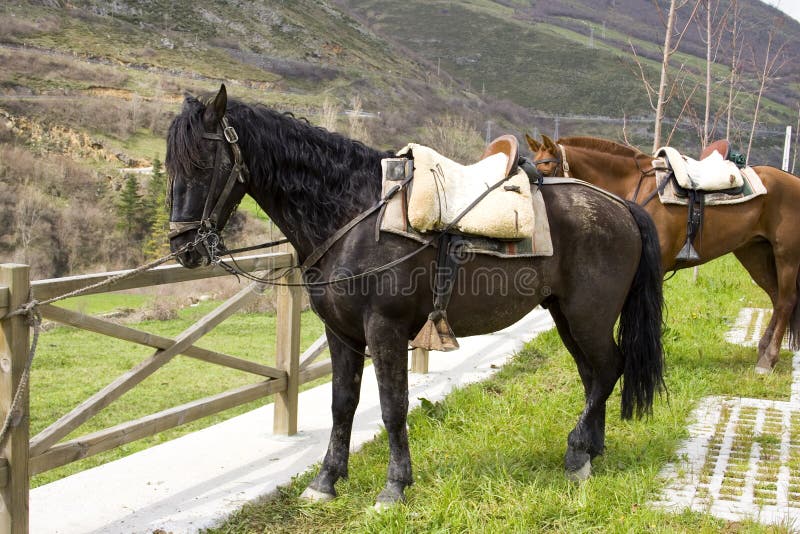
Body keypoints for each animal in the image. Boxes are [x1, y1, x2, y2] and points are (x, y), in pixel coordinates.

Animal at [165, 85, 665, 508]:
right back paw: (589, 451)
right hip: (566, 316)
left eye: (205, 165)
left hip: (588, 316)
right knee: (593, 373)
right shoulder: (341, 334)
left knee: (609, 368)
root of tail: (621, 207)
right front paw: (326, 480)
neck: (353, 214)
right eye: (172, 168)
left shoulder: (384, 330)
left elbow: (393, 406)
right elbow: (342, 404)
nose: (185, 248)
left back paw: (578, 451)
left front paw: (394, 486)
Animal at [527, 133, 800, 373]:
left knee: (786, 301)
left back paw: (768, 360)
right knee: (776, 298)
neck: (632, 185)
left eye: (546, 171)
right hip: (754, 253)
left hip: (786, 255)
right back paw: (763, 351)